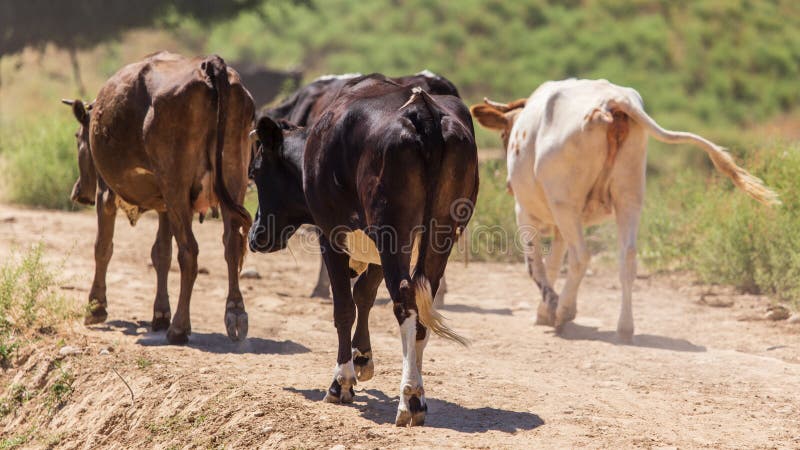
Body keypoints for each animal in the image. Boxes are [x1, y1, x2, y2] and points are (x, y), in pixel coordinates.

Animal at [63, 51, 254, 344]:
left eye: (77, 137)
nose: (78, 192)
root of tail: (208, 67)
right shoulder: (165, 205)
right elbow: (161, 253)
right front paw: (160, 313)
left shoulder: (106, 194)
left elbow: (103, 247)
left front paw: (95, 307)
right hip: (233, 180)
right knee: (231, 245)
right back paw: (234, 313)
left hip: (175, 186)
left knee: (189, 252)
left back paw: (179, 327)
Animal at [471, 78, 779, 342]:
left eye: (504, 134)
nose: (508, 185)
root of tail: (613, 100)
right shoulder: (561, 223)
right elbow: (554, 262)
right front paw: (544, 311)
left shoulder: (526, 212)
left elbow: (536, 264)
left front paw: (549, 308)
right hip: (628, 197)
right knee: (627, 258)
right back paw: (624, 327)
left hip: (565, 202)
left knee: (582, 256)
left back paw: (565, 312)